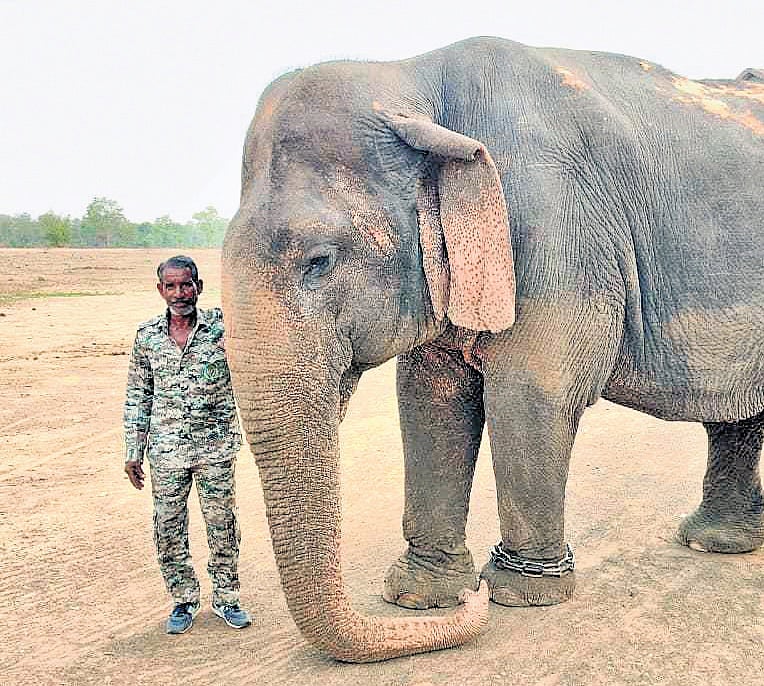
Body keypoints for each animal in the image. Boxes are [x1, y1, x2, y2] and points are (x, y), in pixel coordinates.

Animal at [221, 37, 764, 662]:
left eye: (319, 261)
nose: (470, 601)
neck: (415, 82)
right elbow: (429, 400)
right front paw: (422, 596)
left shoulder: (559, 233)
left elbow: (529, 394)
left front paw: (516, 594)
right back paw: (714, 542)